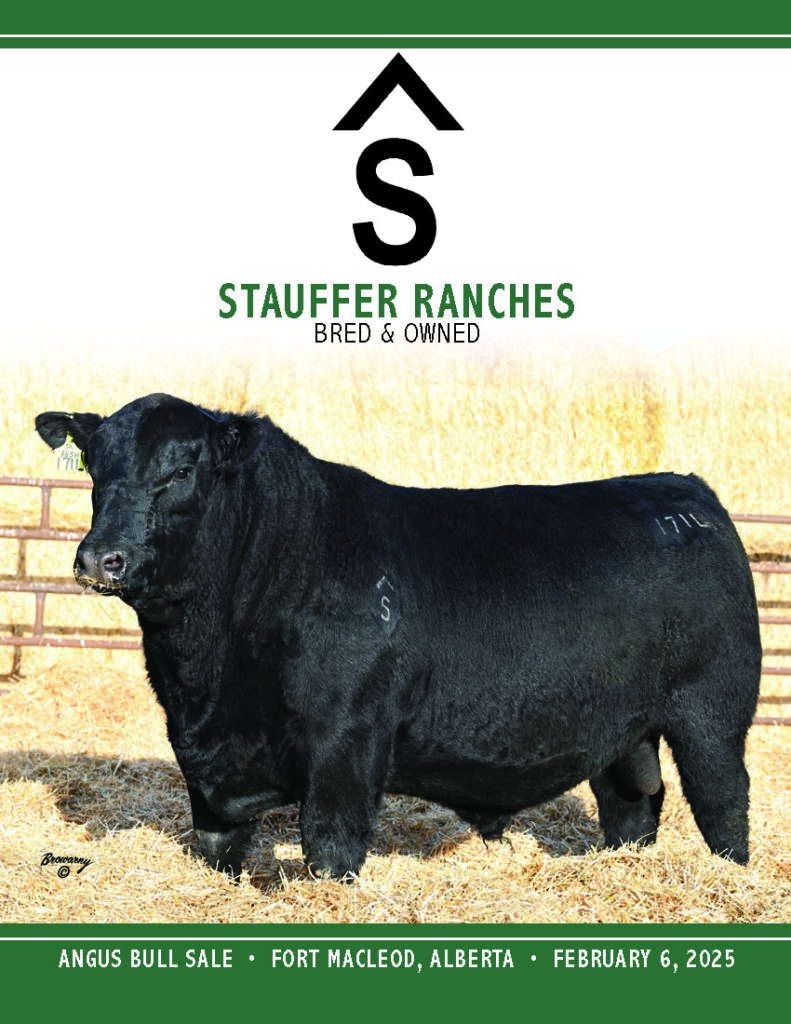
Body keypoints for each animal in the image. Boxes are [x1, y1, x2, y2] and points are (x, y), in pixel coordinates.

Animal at [35, 393, 762, 881]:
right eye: (92, 468)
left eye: (181, 471)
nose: (101, 559)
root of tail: (685, 491)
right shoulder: (203, 758)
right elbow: (217, 848)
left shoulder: (347, 740)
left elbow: (330, 847)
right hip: (623, 731)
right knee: (631, 807)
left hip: (711, 716)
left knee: (724, 806)